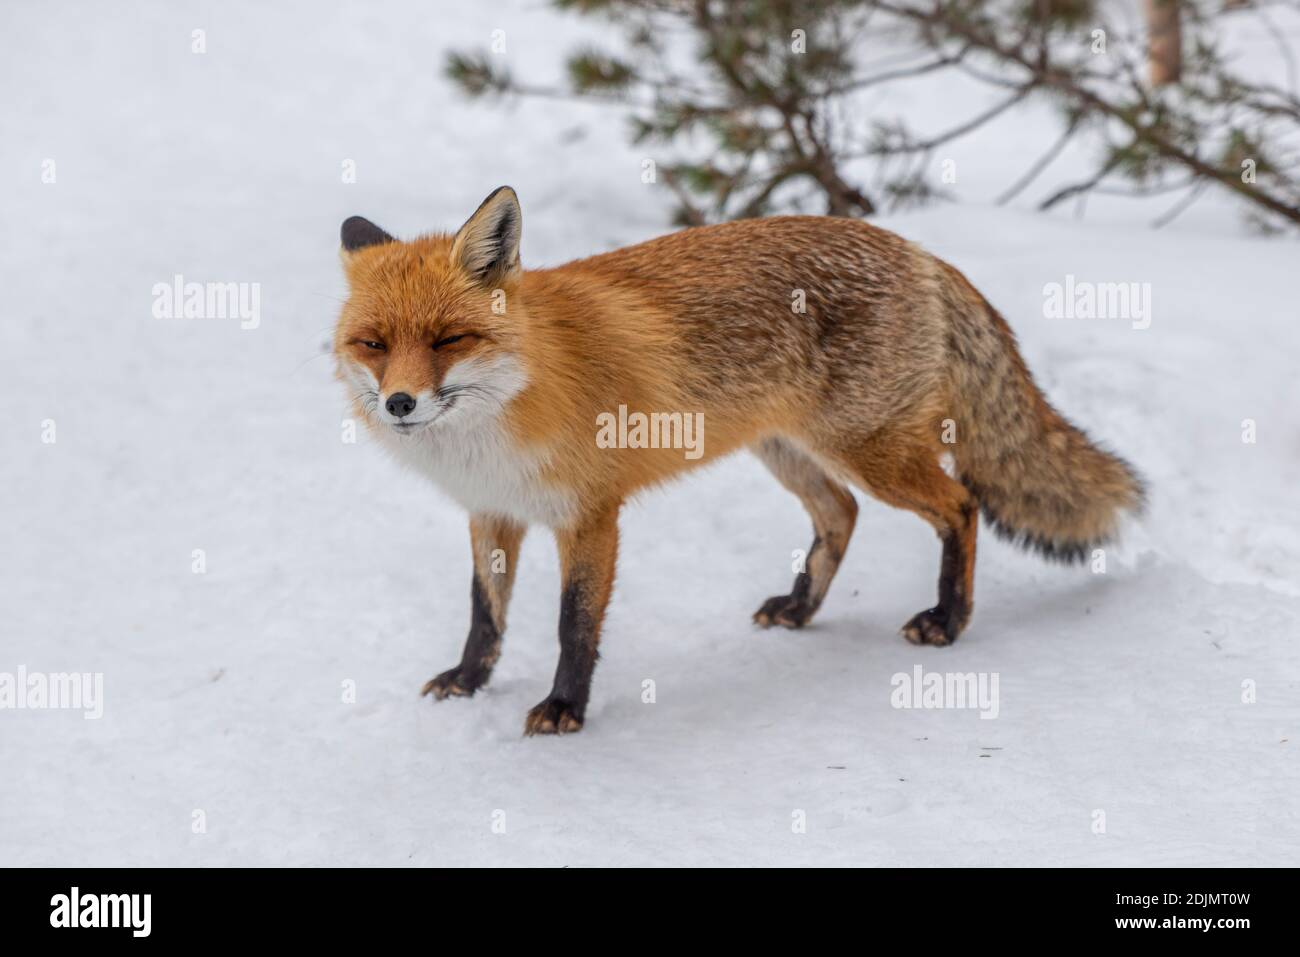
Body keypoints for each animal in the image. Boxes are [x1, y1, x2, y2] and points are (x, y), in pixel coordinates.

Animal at [334, 186, 1144, 736]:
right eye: (374, 343)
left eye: (448, 339)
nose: (400, 403)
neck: (501, 414)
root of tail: (921, 254)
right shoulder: (493, 510)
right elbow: (486, 615)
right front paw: (469, 681)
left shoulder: (590, 515)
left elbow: (573, 625)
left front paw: (566, 707)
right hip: (788, 450)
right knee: (841, 514)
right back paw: (801, 608)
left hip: (871, 451)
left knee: (961, 505)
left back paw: (949, 618)